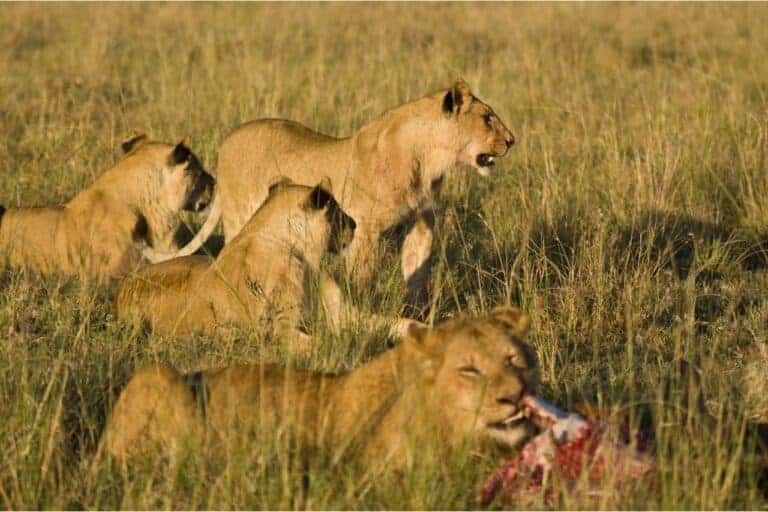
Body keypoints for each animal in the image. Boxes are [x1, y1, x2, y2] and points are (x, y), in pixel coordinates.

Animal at [116, 178, 417, 347]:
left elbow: (401, 323)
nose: (354, 224)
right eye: (336, 212)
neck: (303, 256)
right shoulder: (278, 329)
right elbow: (324, 344)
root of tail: (122, 289)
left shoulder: (343, 313)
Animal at [144, 80, 515, 310]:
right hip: (241, 216)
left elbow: (417, 276)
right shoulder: (366, 231)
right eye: (487, 118)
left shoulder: (421, 226)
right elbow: (362, 280)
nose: (512, 141)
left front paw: (417, 318)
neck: (428, 162)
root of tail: (226, 143)